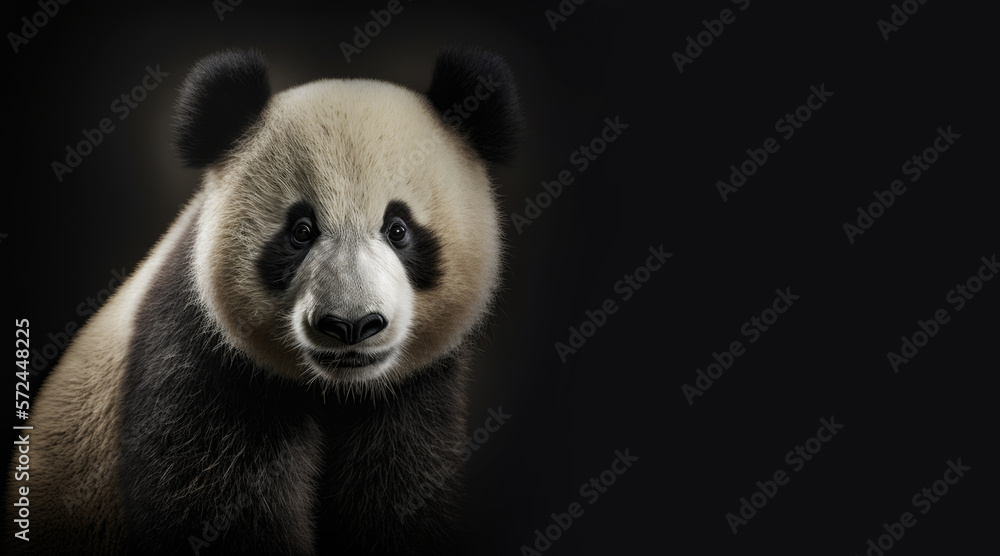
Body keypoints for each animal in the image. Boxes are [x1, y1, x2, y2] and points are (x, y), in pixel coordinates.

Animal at [5, 47, 522, 555]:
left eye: (398, 229)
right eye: (301, 231)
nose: (351, 326)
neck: (336, 390)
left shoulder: (414, 393)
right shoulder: (204, 369)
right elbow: (216, 504)